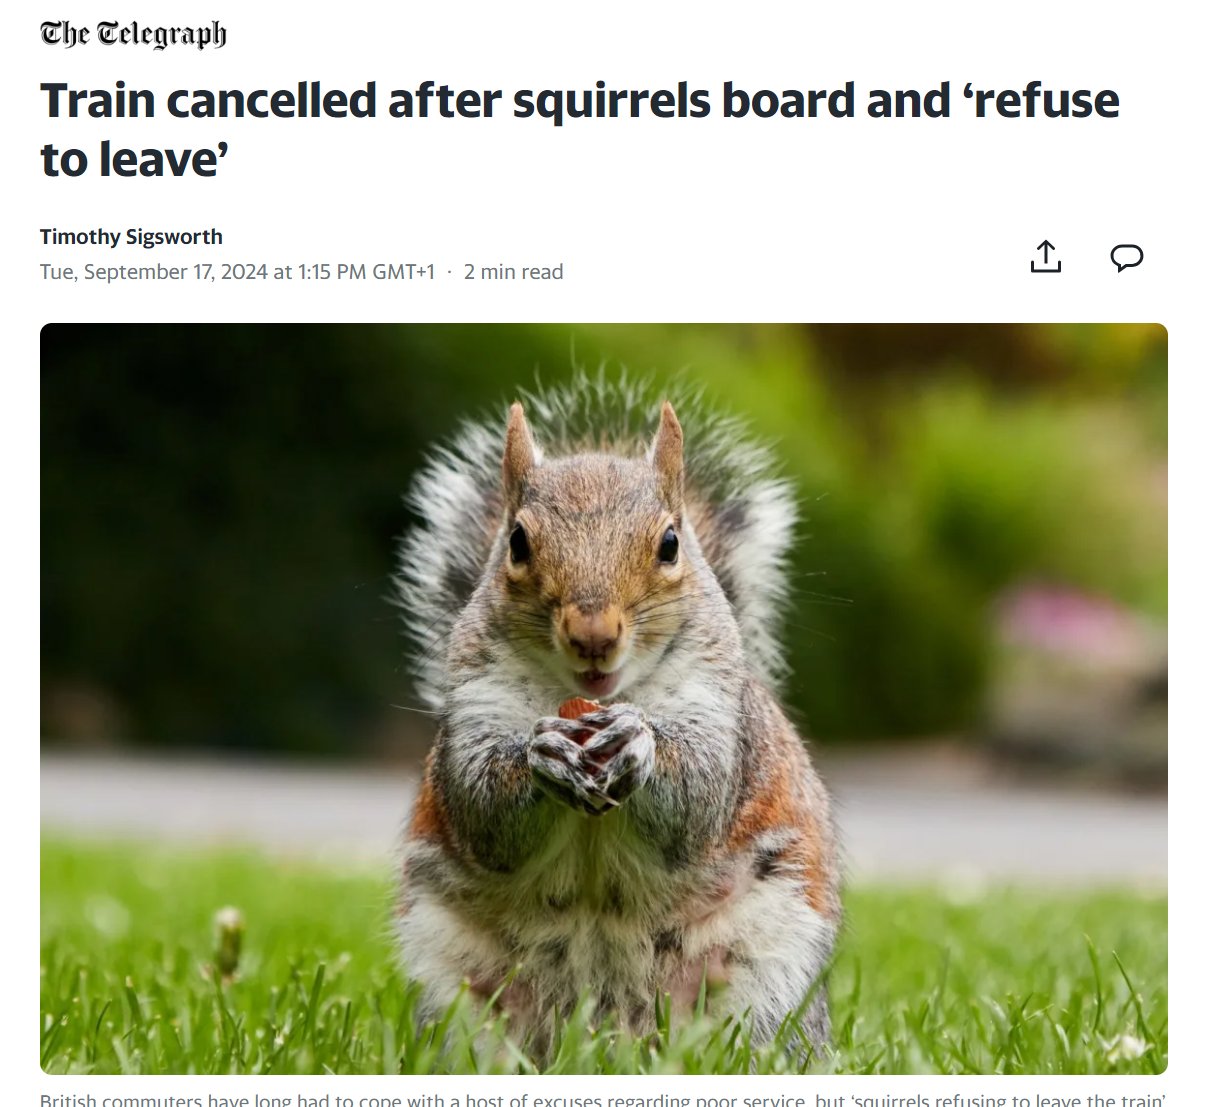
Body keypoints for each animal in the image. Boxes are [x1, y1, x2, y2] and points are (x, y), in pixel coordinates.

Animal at [394, 378, 840, 1052]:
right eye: (517, 541)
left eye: (670, 544)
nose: (593, 635)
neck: (599, 699)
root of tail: (605, 1033)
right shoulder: (474, 707)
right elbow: (482, 806)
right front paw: (543, 754)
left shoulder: (721, 715)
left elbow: (698, 795)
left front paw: (639, 741)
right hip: (456, 993)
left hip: (769, 978)